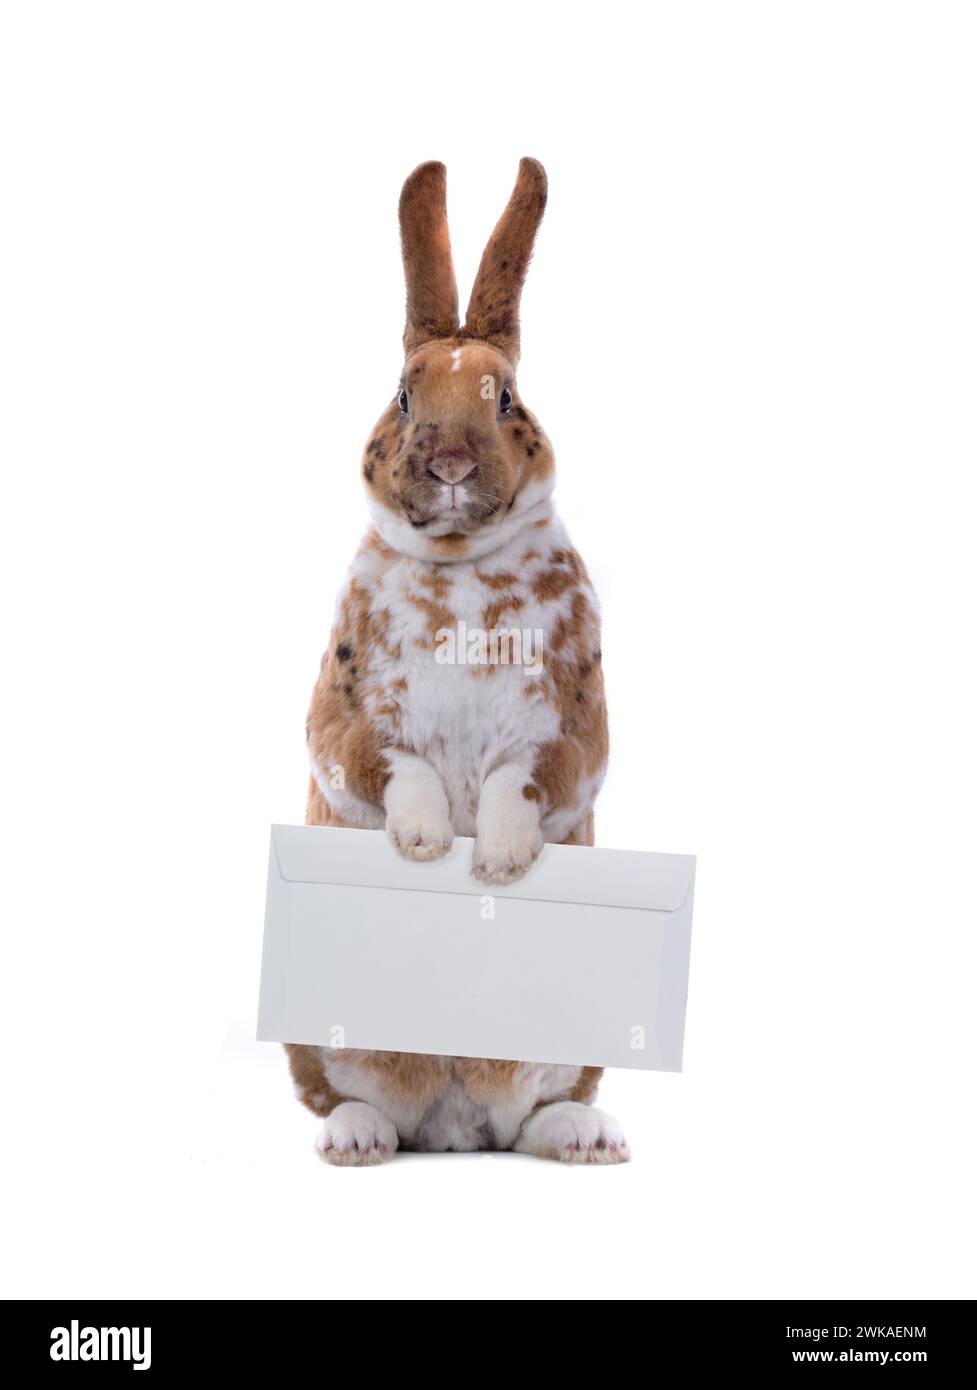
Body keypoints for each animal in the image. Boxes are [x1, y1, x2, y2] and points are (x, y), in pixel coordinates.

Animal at [285, 159, 627, 1165]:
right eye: (403, 395)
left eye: (504, 398)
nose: (446, 463)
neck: (460, 564)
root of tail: (454, 1127)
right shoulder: (342, 716)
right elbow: (390, 766)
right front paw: (430, 846)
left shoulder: (575, 725)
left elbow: (527, 778)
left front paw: (499, 865)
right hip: (318, 1049)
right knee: (340, 1100)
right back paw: (356, 1141)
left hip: (566, 1062)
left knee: (537, 1116)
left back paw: (587, 1137)